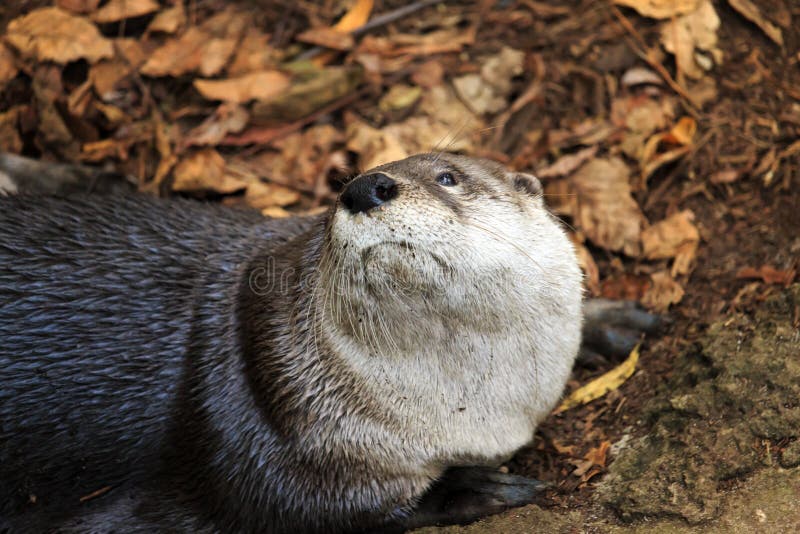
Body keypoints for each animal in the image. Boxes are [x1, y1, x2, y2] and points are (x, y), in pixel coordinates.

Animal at [0, 153, 656, 532]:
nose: (366, 187)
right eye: (340, 188)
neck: (473, 413)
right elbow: (299, 507)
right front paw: (474, 485)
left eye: (448, 177)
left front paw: (610, 320)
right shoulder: (263, 428)